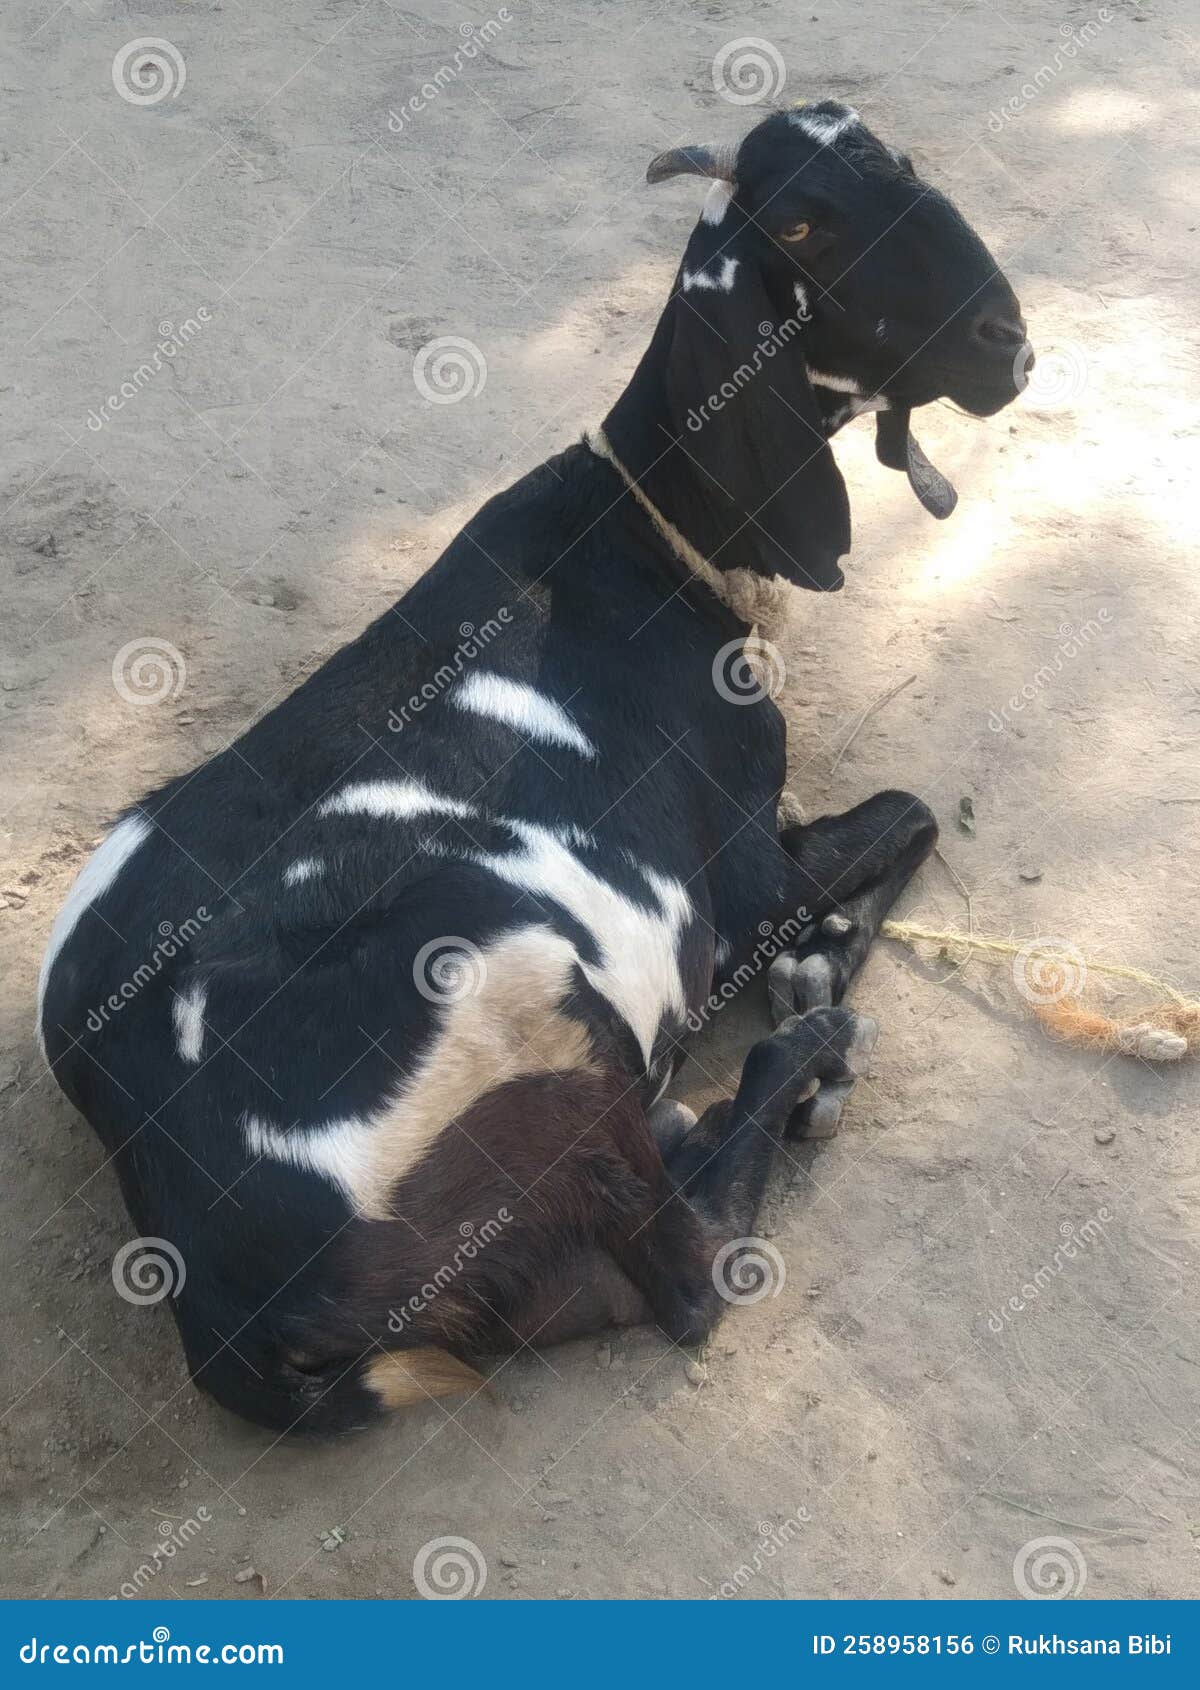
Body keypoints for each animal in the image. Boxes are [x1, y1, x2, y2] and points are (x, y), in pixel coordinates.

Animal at [39, 102, 1029, 1432]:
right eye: (802, 225)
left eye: (902, 162)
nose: (1006, 343)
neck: (647, 531)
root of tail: (232, 1305)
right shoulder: (745, 874)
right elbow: (907, 813)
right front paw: (816, 976)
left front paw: (818, 965)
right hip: (525, 989)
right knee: (690, 1274)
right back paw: (803, 1060)